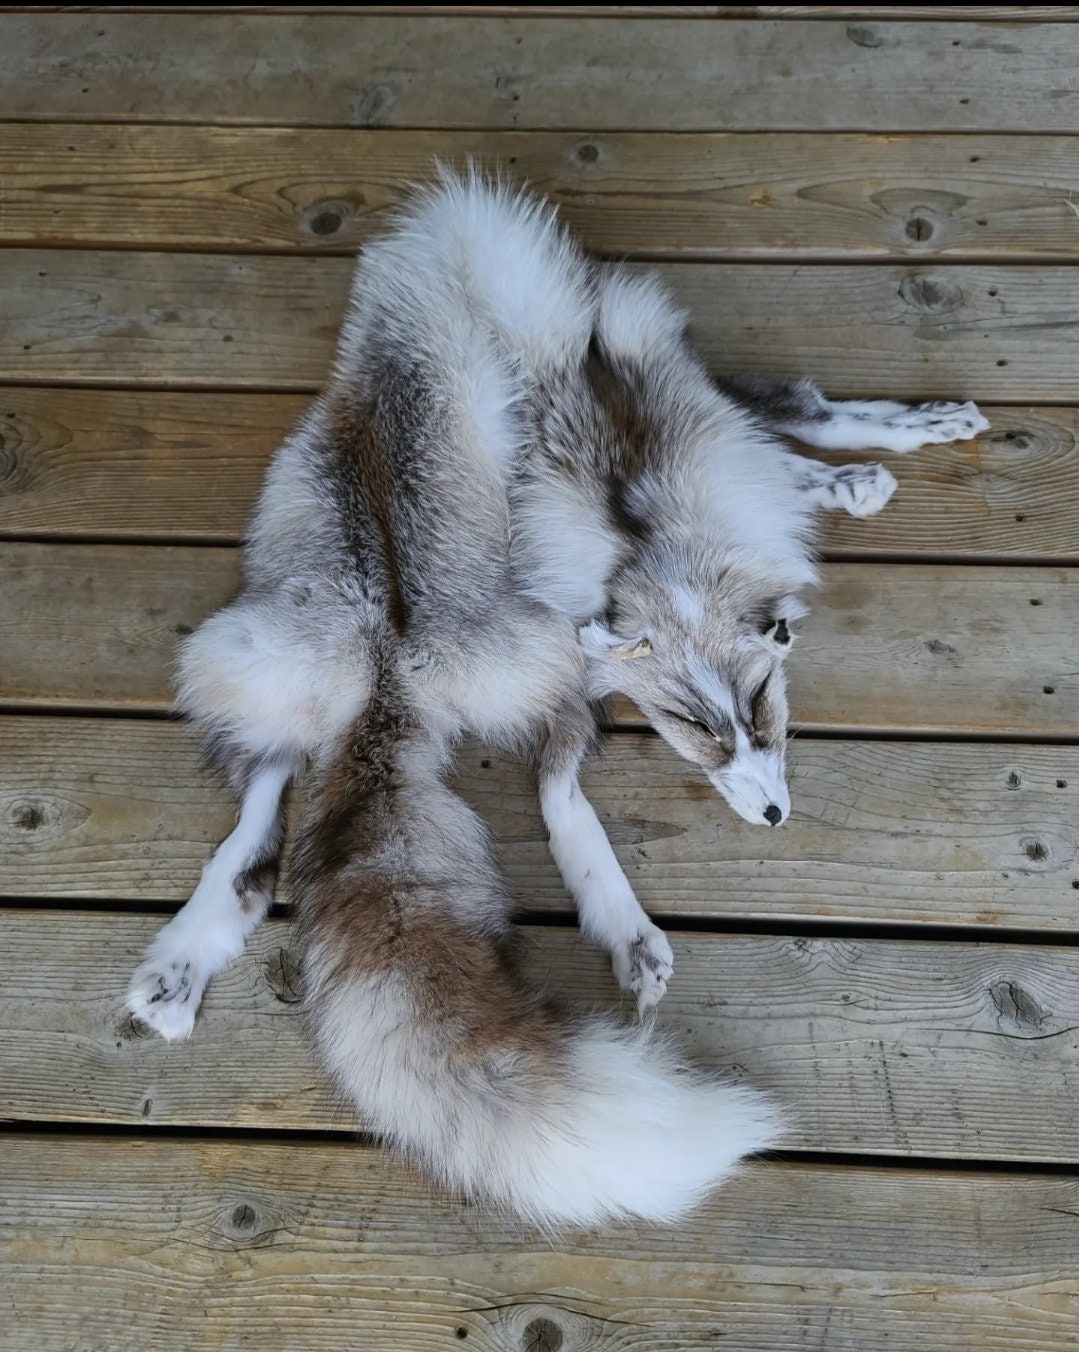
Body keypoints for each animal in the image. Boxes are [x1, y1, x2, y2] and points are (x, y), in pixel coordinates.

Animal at [126, 173, 988, 1226]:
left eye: (762, 707)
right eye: (695, 730)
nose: (775, 819)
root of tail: (387, 664)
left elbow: (800, 425)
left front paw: (880, 453)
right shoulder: (672, 392)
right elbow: (804, 425)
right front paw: (863, 470)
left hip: (261, 660)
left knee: (256, 829)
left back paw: (180, 963)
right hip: (519, 653)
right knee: (552, 787)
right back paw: (622, 925)